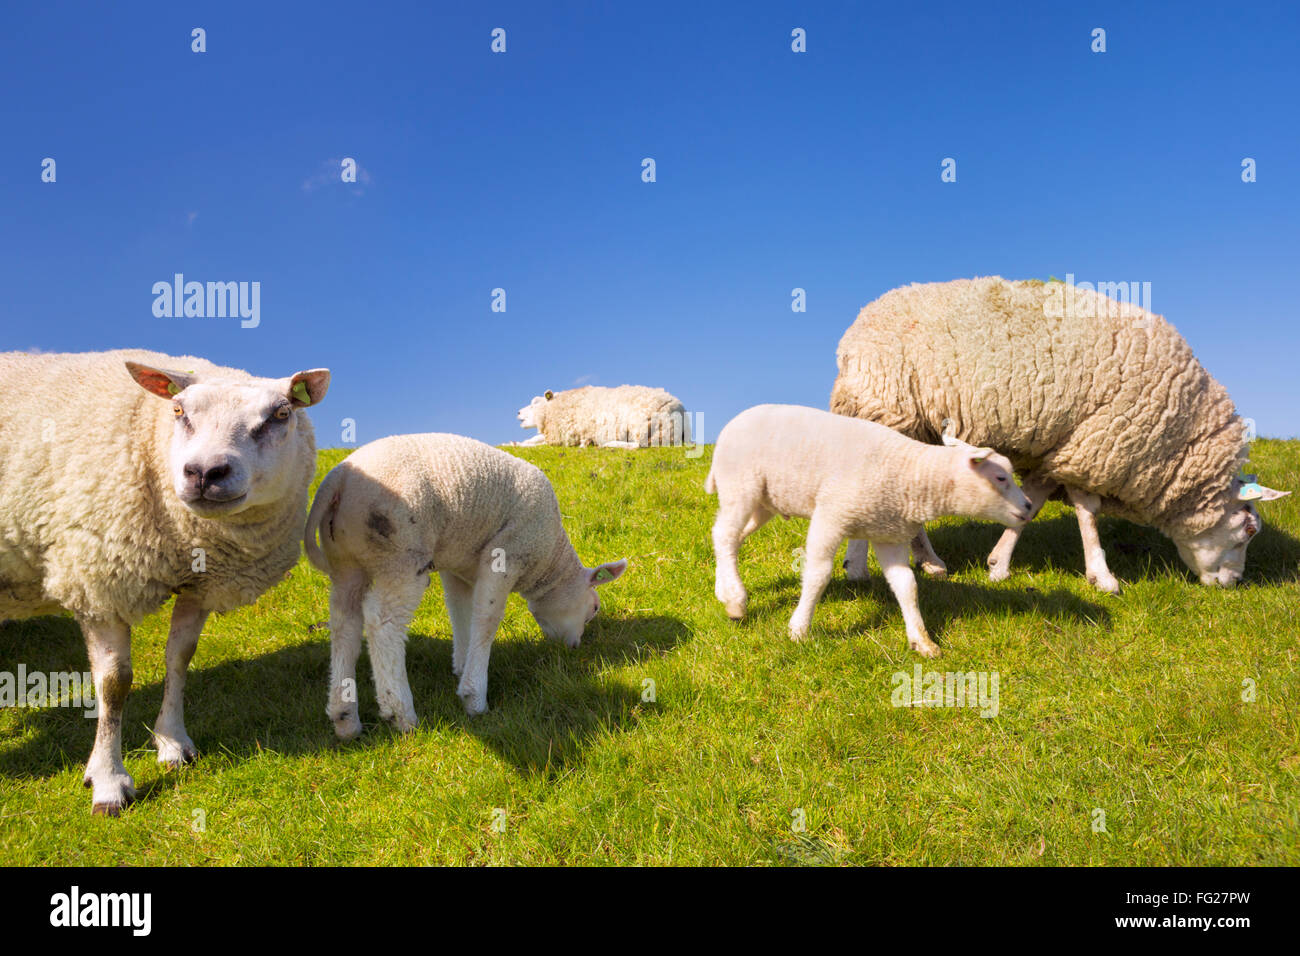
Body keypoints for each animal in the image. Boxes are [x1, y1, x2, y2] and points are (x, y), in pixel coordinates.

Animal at [0, 349, 329, 815]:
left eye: (282, 413)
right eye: (179, 411)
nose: (205, 472)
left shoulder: (202, 582)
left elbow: (180, 657)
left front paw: (172, 743)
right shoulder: (98, 579)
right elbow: (114, 684)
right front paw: (109, 780)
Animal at [303, 433, 628, 728]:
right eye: (594, 608)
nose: (574, 647)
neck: (548, 558)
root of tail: (339, 478)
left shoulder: (457, 567)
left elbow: (460, 612)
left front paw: (461, 664)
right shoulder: (507, 553)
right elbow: (487, 618)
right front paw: (475, 696)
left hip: (346, 561)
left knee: (344, 621)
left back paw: (344, 716)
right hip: (400, 554)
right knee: (383, 622)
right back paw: (400, 713)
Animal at [516, 385, 690, 449]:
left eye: (534, 403)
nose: (517, 412)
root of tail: (680, 408)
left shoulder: (565, 436)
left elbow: (540, 443)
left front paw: (520, 445)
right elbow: (535, 438)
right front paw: (517, 442)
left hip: (642, 426)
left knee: (637, 446)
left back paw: (606, 444)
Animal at [706, 404, 1031, 657]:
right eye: (1001, 478)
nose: (1028, 507)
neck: (911, 475)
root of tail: (731, 425)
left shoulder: (890, 535)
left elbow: (906, 585)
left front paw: (921, 640)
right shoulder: (831, 516)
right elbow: (818, 574)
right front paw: (799, 629)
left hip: (764, 502)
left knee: (726, 537)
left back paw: (724, 590)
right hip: (740, 486)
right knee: (725, 534)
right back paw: (736, 601)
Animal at [830, 277, 1291, 592]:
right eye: (1249, 530)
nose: (1233, 584)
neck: (1177, 440)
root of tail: (858, 325)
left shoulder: (1062, 450)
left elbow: (1030, 505)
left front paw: (998, 565)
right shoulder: (1096, 446)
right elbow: (1088, 512)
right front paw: (1102, 575)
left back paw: (929, 562)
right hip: (883, 410)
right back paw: (858, 568)